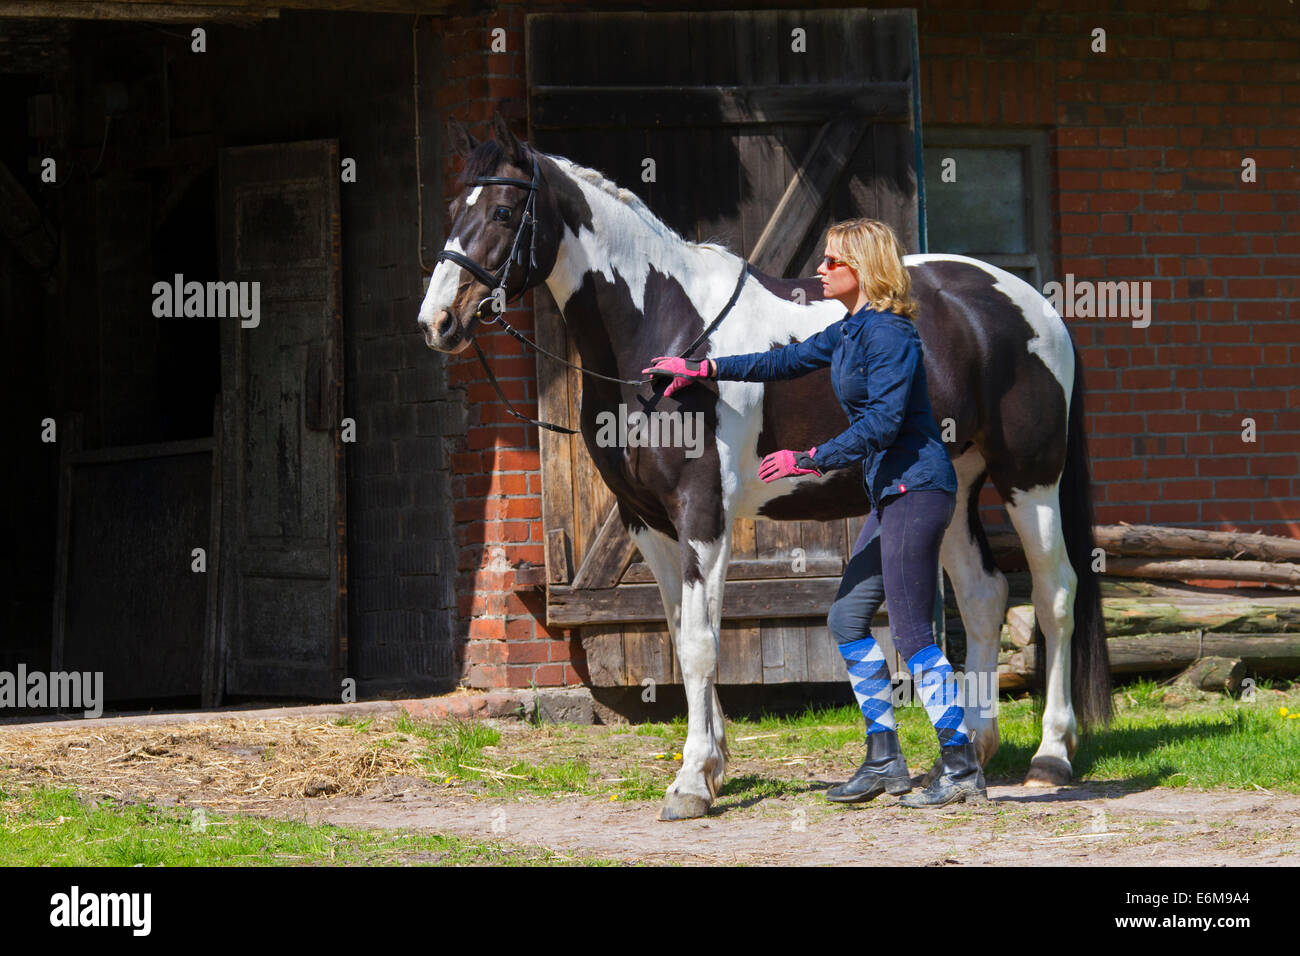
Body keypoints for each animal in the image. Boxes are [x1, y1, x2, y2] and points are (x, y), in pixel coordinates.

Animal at [419, 112, 1111, 821]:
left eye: (503, 211)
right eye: (453, 209)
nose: (437, 321)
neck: (663, 330)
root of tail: (1032, 304)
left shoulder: (702, 514)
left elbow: (703, 644)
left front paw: (692, 781)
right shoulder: (646, 521)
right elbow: (681, 636)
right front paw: (712, 767)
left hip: (1030, 479)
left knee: (1054, 595)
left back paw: (1050, 757)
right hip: (954, 482)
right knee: (982, 595)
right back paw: (975, 745)